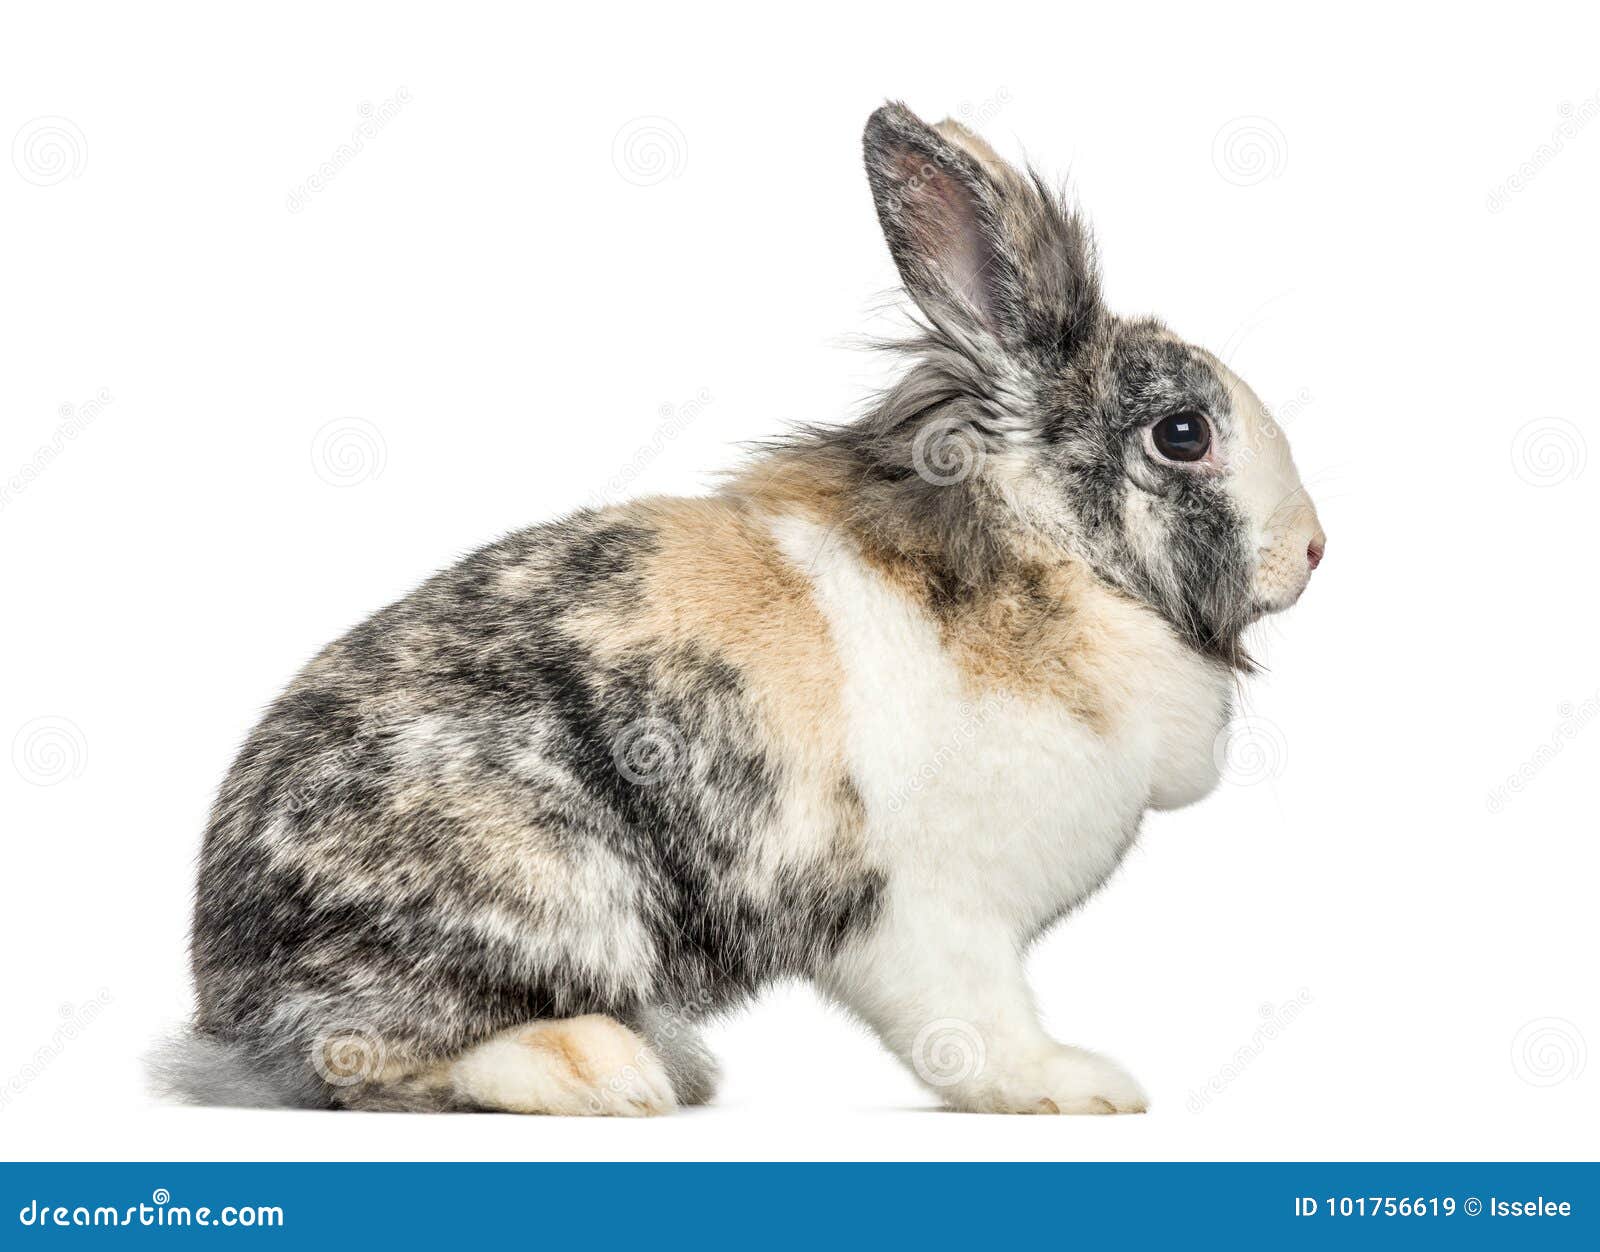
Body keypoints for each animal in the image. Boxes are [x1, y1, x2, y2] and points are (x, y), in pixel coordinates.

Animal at [151, 101, 1324, 1116]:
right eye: (1183, 432)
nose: (1314, 550)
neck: (1041, 555)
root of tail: (227, 996)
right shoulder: (933, 914)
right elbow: (975, 1028)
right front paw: (1077, 1088)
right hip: (544, 889)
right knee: (364, 1052)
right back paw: (604, 1072)